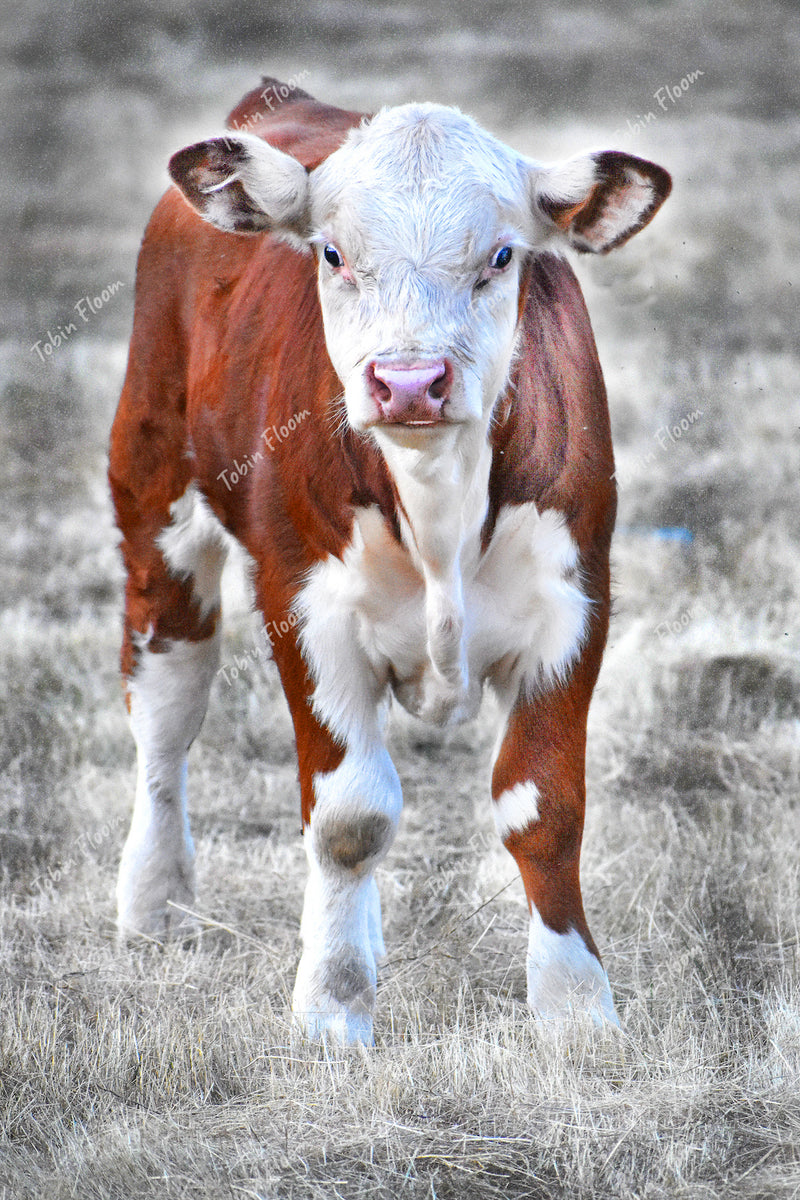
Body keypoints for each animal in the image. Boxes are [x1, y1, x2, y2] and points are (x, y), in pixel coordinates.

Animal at [109, 78, 670, 1044]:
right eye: (334, 253)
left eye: (501, 255)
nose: (409, 382)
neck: (439, 506)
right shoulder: (305, 606)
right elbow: (349, 819)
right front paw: (333, 1006)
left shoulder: (575, 603)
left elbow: (545, 808)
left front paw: (575, 1006)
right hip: (154, 499)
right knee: (166, 712)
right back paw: (154, 902)